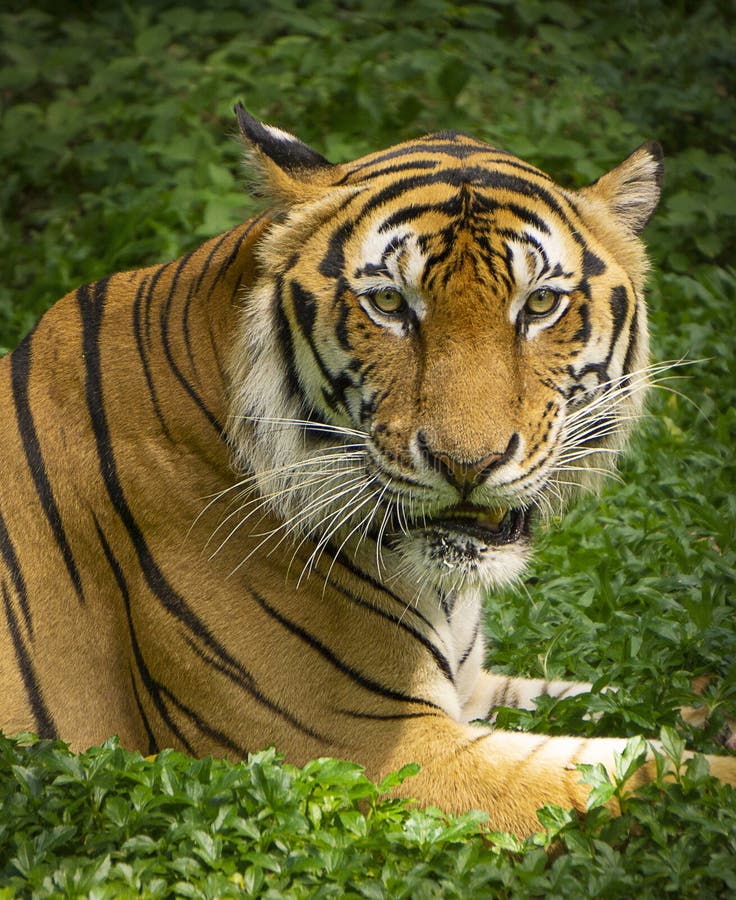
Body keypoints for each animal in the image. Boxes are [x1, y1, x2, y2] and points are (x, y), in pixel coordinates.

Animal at [1, 104, 734, 837]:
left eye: (538, 304)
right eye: (389, 305)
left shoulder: (473, 689)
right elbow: (660, 769)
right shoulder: (364, 742)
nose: (466, 463)